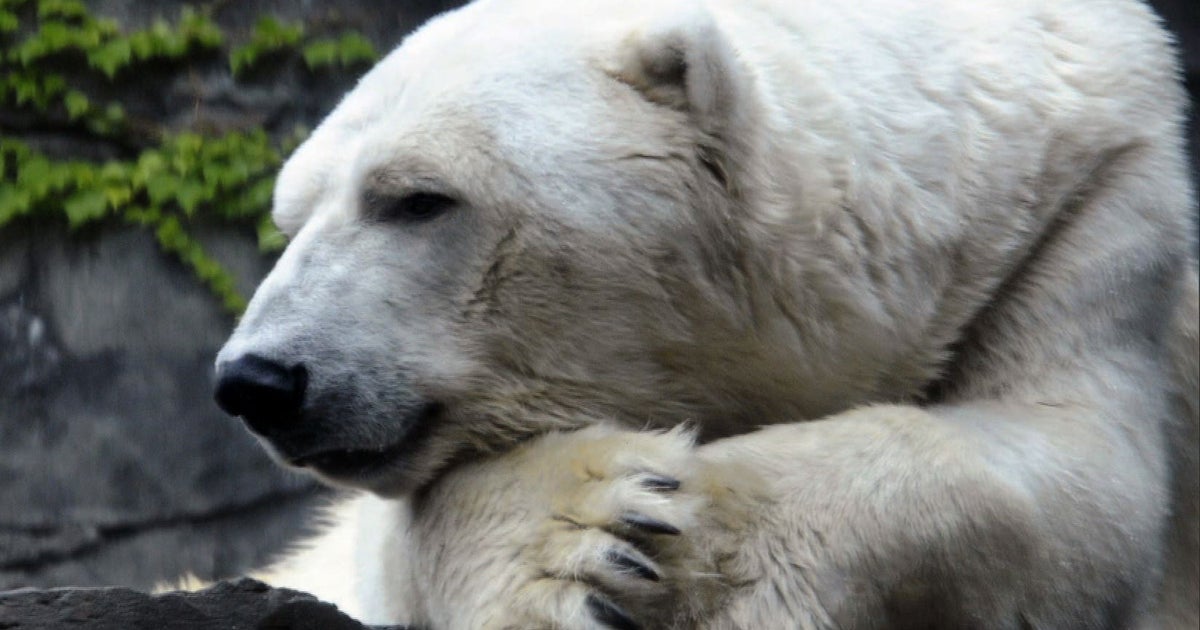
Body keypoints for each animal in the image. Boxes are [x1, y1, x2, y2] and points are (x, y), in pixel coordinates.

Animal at [212, 0, 1199, 627]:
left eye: (418, 199)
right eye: (292, 218)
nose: (257, 380)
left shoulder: (1080, 219)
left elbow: (1074, 482)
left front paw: (680, 546)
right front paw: (588, 533)